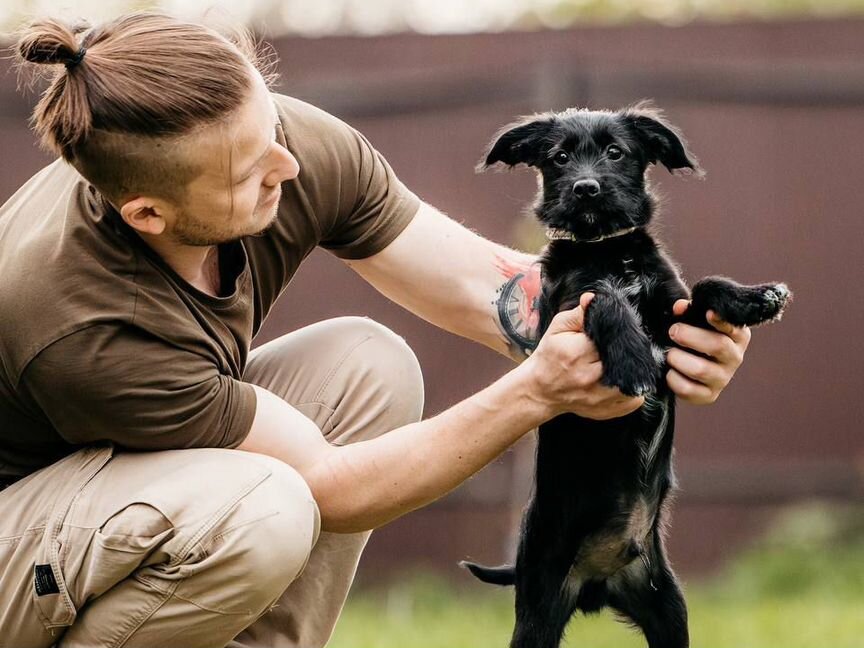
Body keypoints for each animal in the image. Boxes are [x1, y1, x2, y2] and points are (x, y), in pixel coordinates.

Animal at [462, 104, 792, 644]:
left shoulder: (677, 321)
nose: (586, 187)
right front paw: (633, 359)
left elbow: (704, 288)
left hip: (667, 609)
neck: (608, 252)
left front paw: (755, 297)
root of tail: (598, 584)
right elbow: (606, 300)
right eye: (559, 158)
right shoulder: (566, 315)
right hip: (538, 609)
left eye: (616, 152)